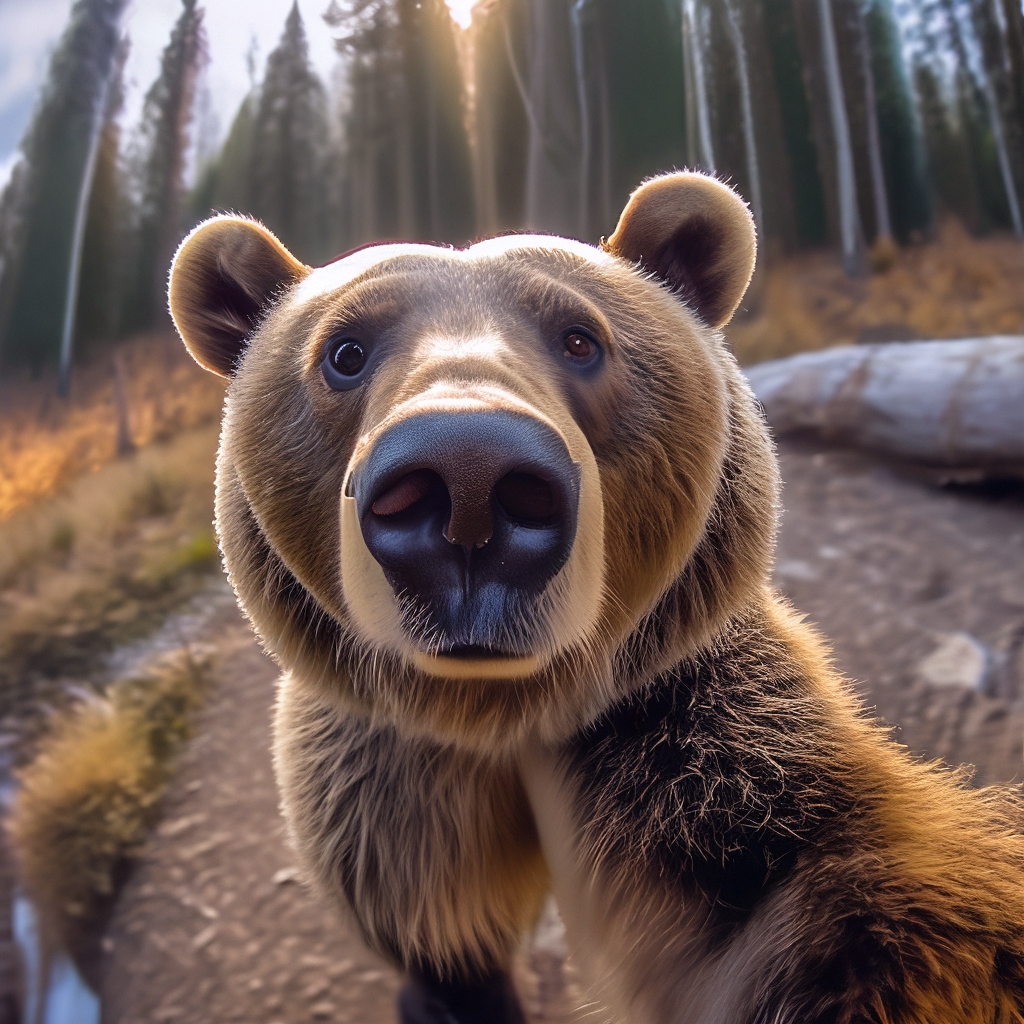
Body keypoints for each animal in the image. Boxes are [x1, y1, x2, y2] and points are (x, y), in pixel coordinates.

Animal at [168, 171, 1024, 1024]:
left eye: (580, 338)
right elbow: (421, 909)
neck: (503, 715)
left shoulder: (684, 732)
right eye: (344, 352)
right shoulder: (387, 768)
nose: (468, 478)